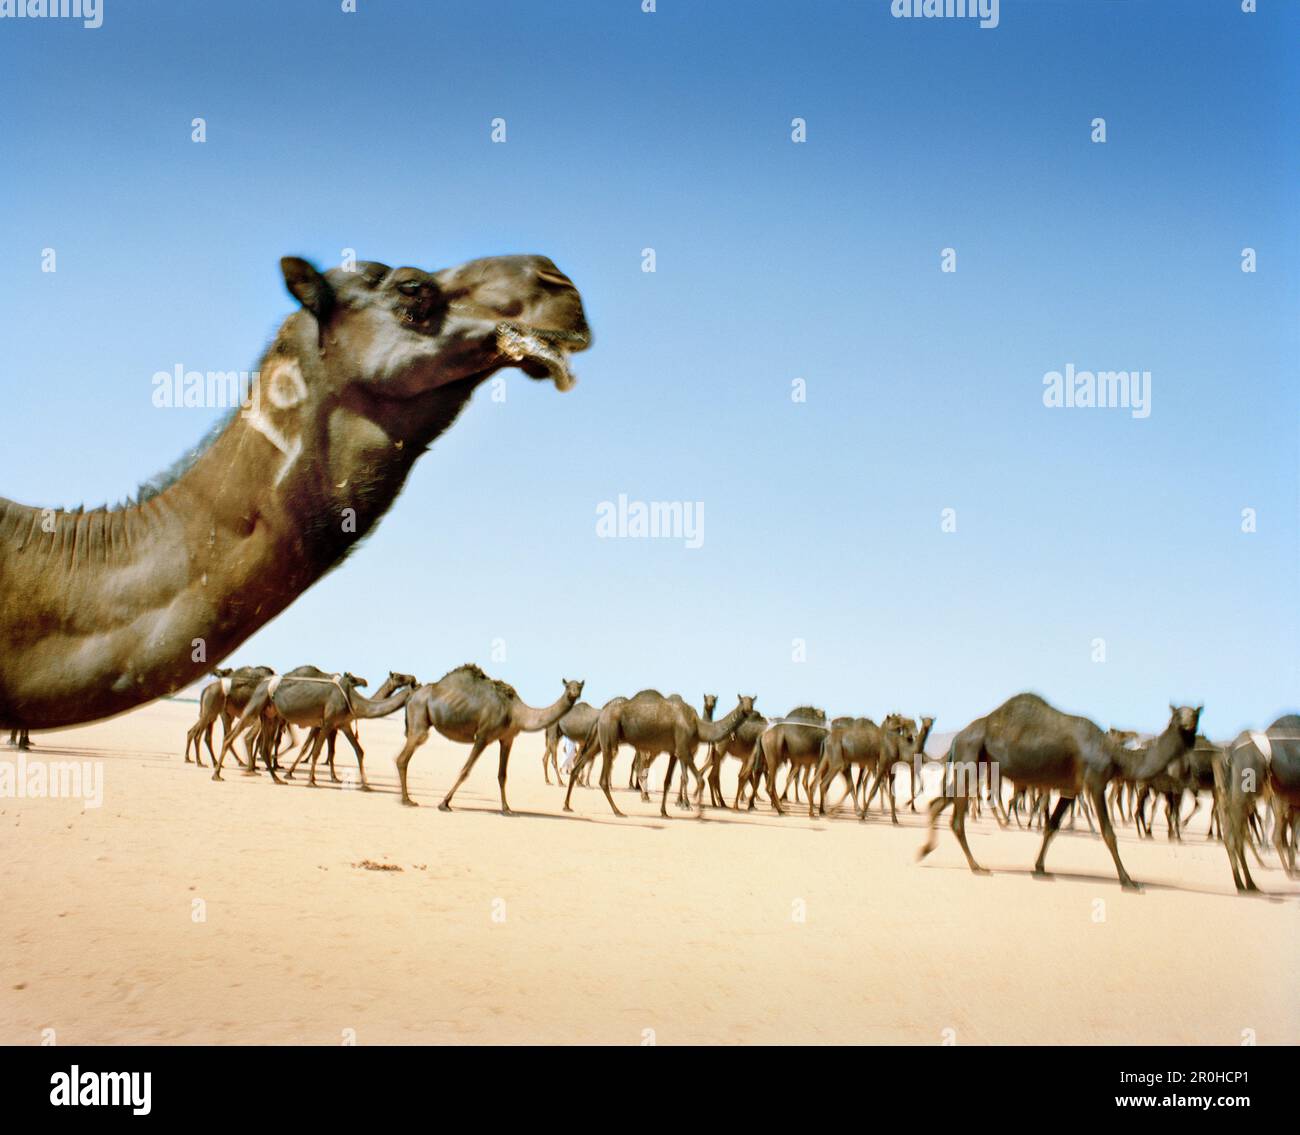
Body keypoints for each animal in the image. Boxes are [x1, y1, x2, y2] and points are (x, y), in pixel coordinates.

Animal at [214, 667, 413, 787]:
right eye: (399, 676)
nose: (414, 678)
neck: (354, 700)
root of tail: (263, 683)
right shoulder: (327, 723)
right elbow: (315, 750)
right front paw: (310, 779)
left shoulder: (343, 724)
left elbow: (357, 750)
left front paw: (363, 784)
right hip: (256, 708)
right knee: (235, 736)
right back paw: (222, 773)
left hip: (270, 715)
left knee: (263, 745)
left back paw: (272, 776)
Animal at [393, 665, 583, 813]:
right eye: (568, 686)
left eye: (580, 687)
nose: (574, 694)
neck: (515, 711)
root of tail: (412, 696)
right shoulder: (483, 736)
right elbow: (465, 770)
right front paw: (444, 803)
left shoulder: (507, 738)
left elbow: (502, 775)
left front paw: (506, 809)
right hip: (419, 715)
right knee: (404, 756)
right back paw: (407, 800)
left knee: (404, 757)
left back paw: (406, 799)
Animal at [564, 691, 756, 818]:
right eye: (743, 702)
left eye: (752, 702)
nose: (750, 711)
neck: (699, 726)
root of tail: (601, 712)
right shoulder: (684, 749)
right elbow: (699, 779)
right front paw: (699, 814)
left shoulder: (674, 751)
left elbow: (668, 782)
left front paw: (664, 812)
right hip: (609, 734)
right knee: (604, 776)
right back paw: (618, 811)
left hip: (599, 737)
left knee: (578, 765)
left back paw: (567, 806)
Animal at [919, 693, 1201, 890]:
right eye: (1179, 715)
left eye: (1196, 714)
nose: (1188, 723)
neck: (1114, 754)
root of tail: (957, 737)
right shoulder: (1096, 782)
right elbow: (1109, 833)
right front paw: (1128, 881)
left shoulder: (1070, 790)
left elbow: (1051, 826)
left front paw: (1039, 868)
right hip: (970, 757)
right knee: (956, 818)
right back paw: (977, 866)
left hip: (974, 762)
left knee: (938, 803)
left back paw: (925, 851)